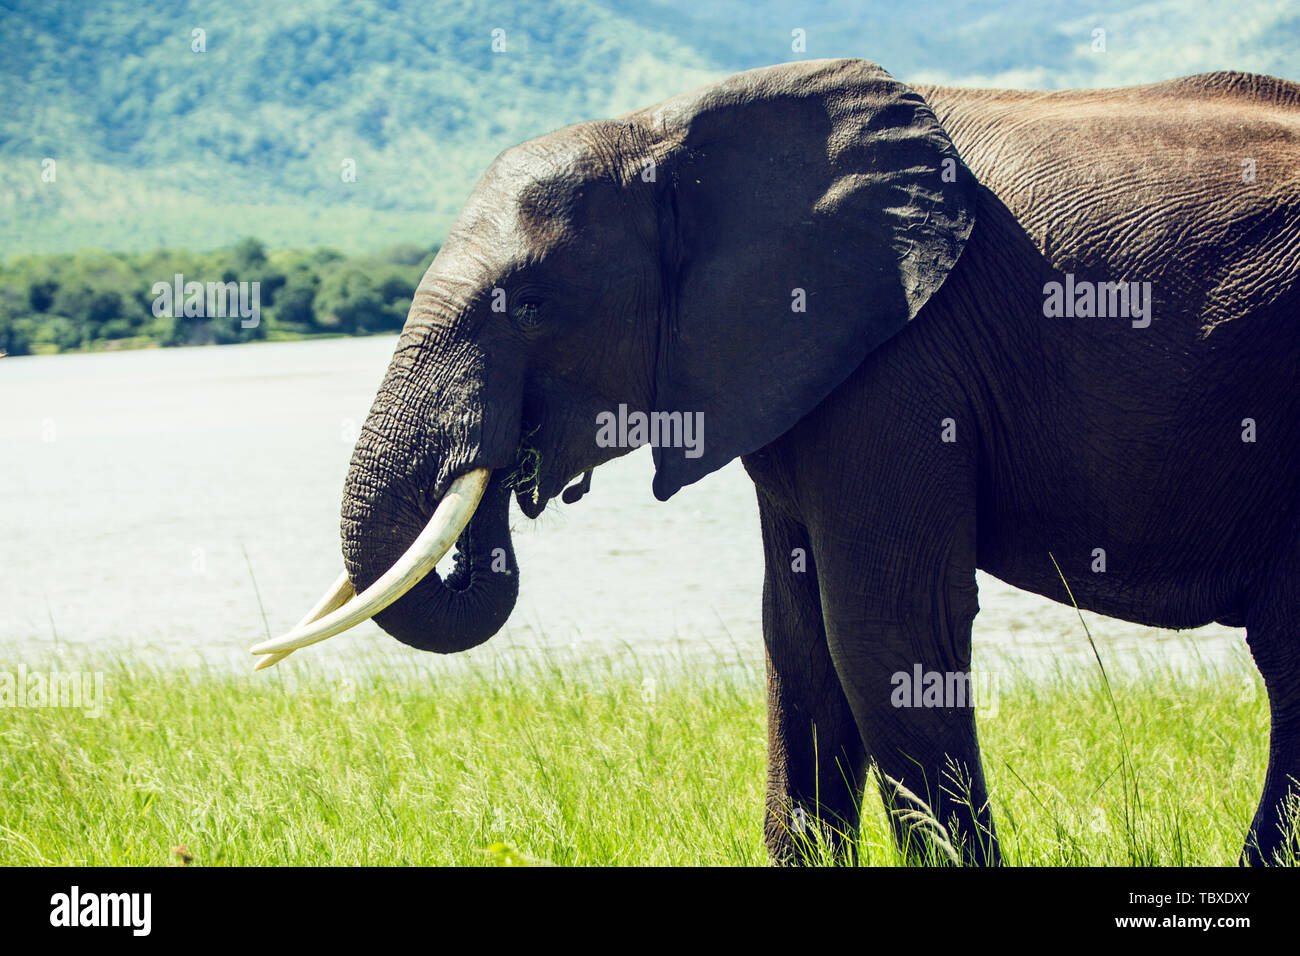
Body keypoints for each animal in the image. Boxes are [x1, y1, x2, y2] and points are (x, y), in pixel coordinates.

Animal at [253, 59, 1300, 866]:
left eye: (534, 304)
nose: (515, 473)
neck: (665, 134)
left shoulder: (899, 363)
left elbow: (883, 629)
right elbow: (796, 636)